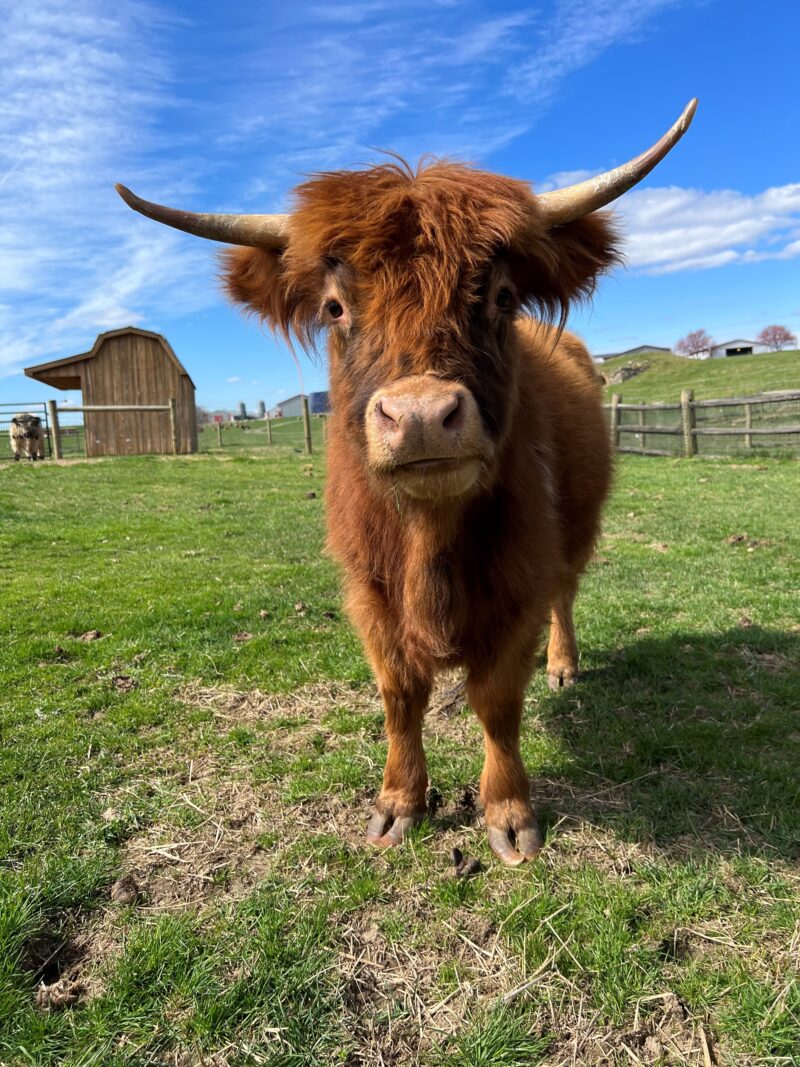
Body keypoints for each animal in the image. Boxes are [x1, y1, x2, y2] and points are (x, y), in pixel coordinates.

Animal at [117, 100, 697, 865]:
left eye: (502, 296)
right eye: (335, 308)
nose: (421, 417)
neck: (429, 540)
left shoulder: (518, 582)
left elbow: (498, 703)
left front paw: (508, 812)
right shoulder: (369, 591)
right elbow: (398, 697)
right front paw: (398, 802)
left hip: (576, 530)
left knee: (566, 596)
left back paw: (563, 665)